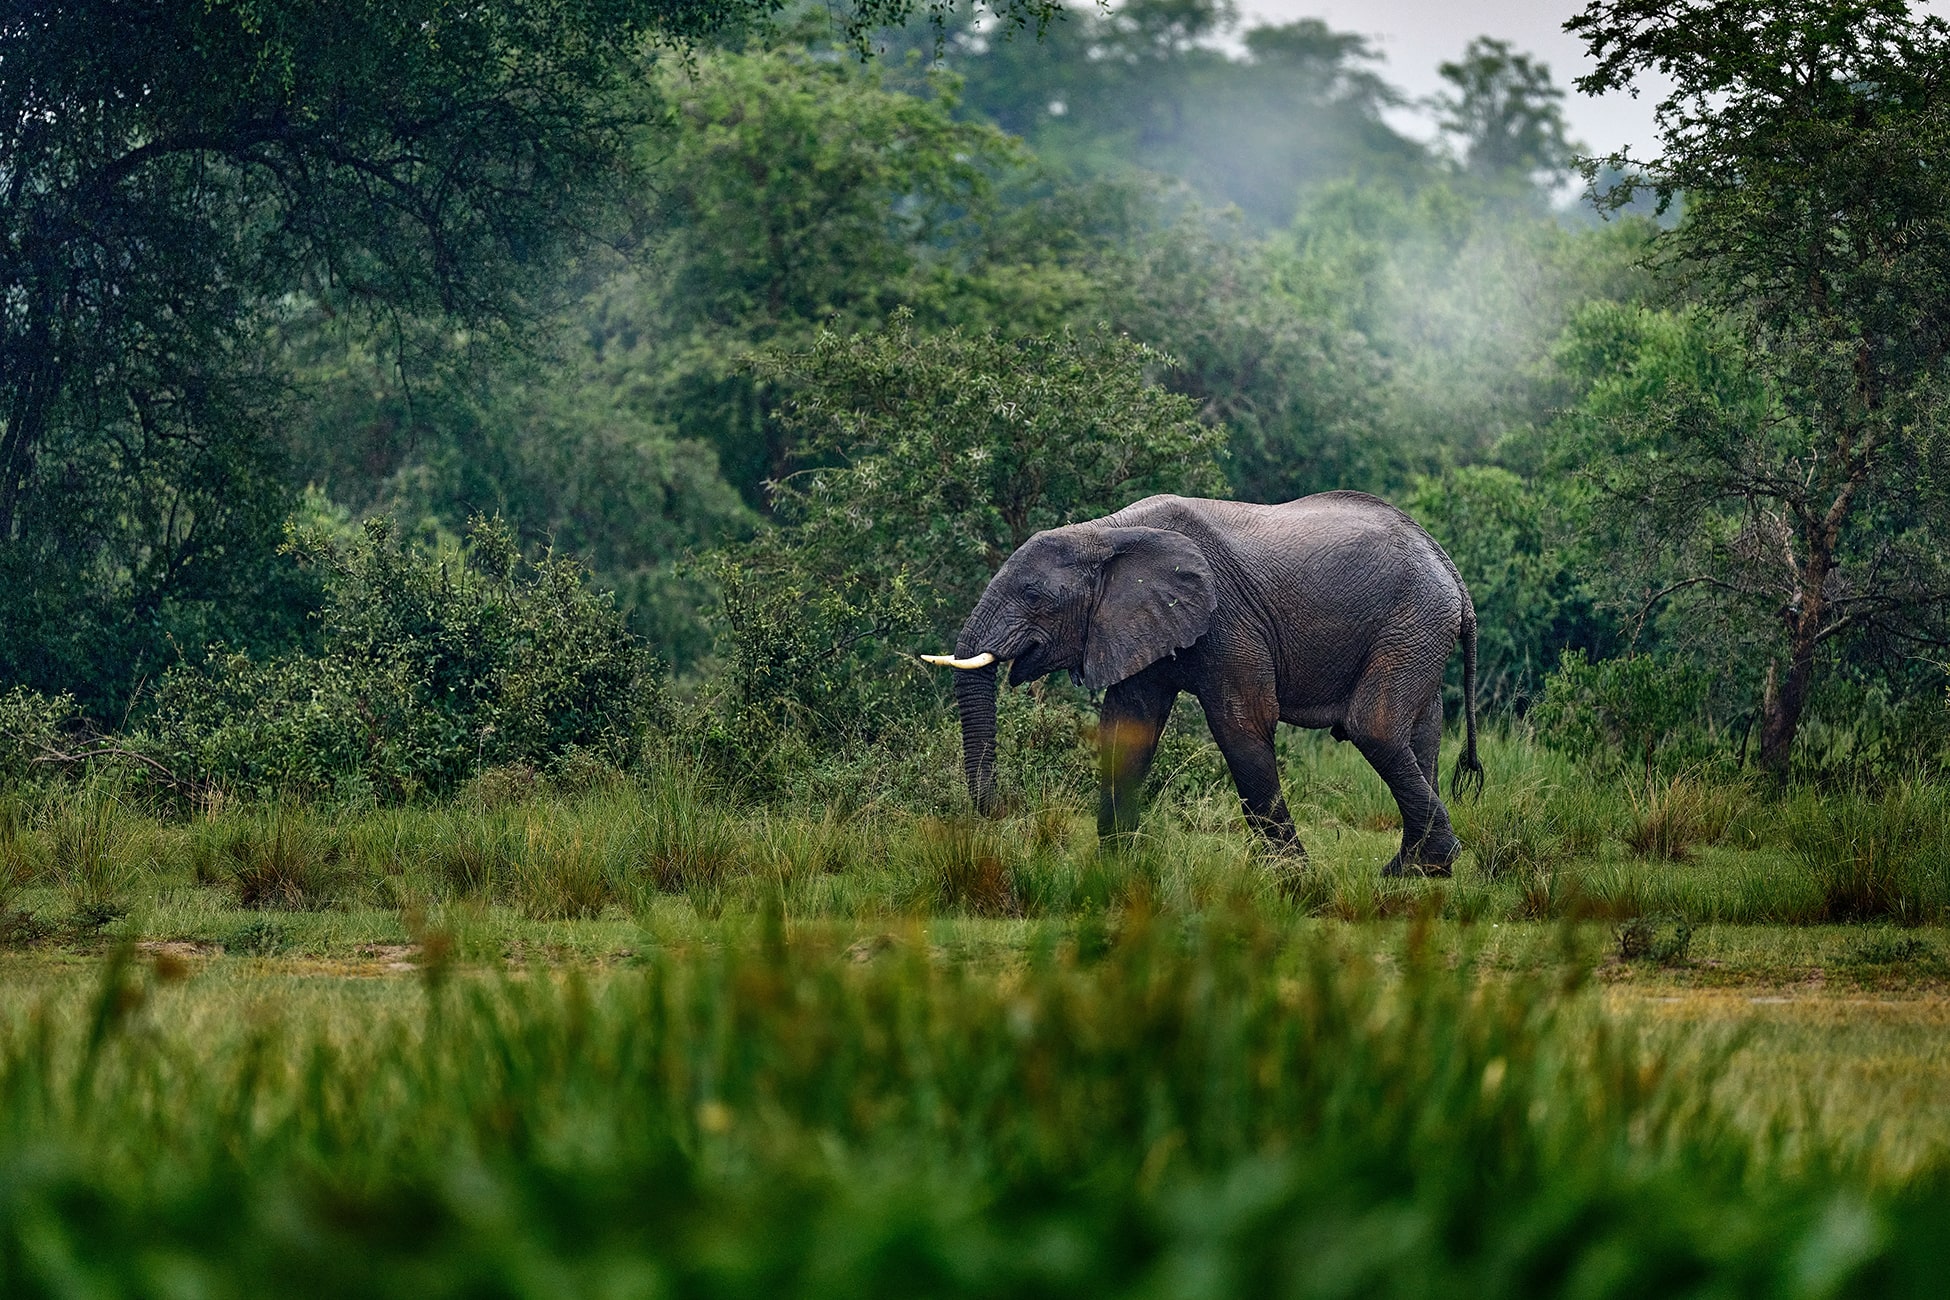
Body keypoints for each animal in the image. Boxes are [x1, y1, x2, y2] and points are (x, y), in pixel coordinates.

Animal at [921, 491, 1483, 875]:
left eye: (1035, 594)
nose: (1003, 810)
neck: (1106, 533)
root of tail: (1450, 568)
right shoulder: (1138, 621)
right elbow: (1127, 728)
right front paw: (1116, 871)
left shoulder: (1228, 620)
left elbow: (1241, 726)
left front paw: (1294, 878)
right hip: (1420, 628)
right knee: (1420, 734)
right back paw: (1418, 871)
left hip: (1413, 618)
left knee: (1375, 728)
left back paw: (1420, 867)